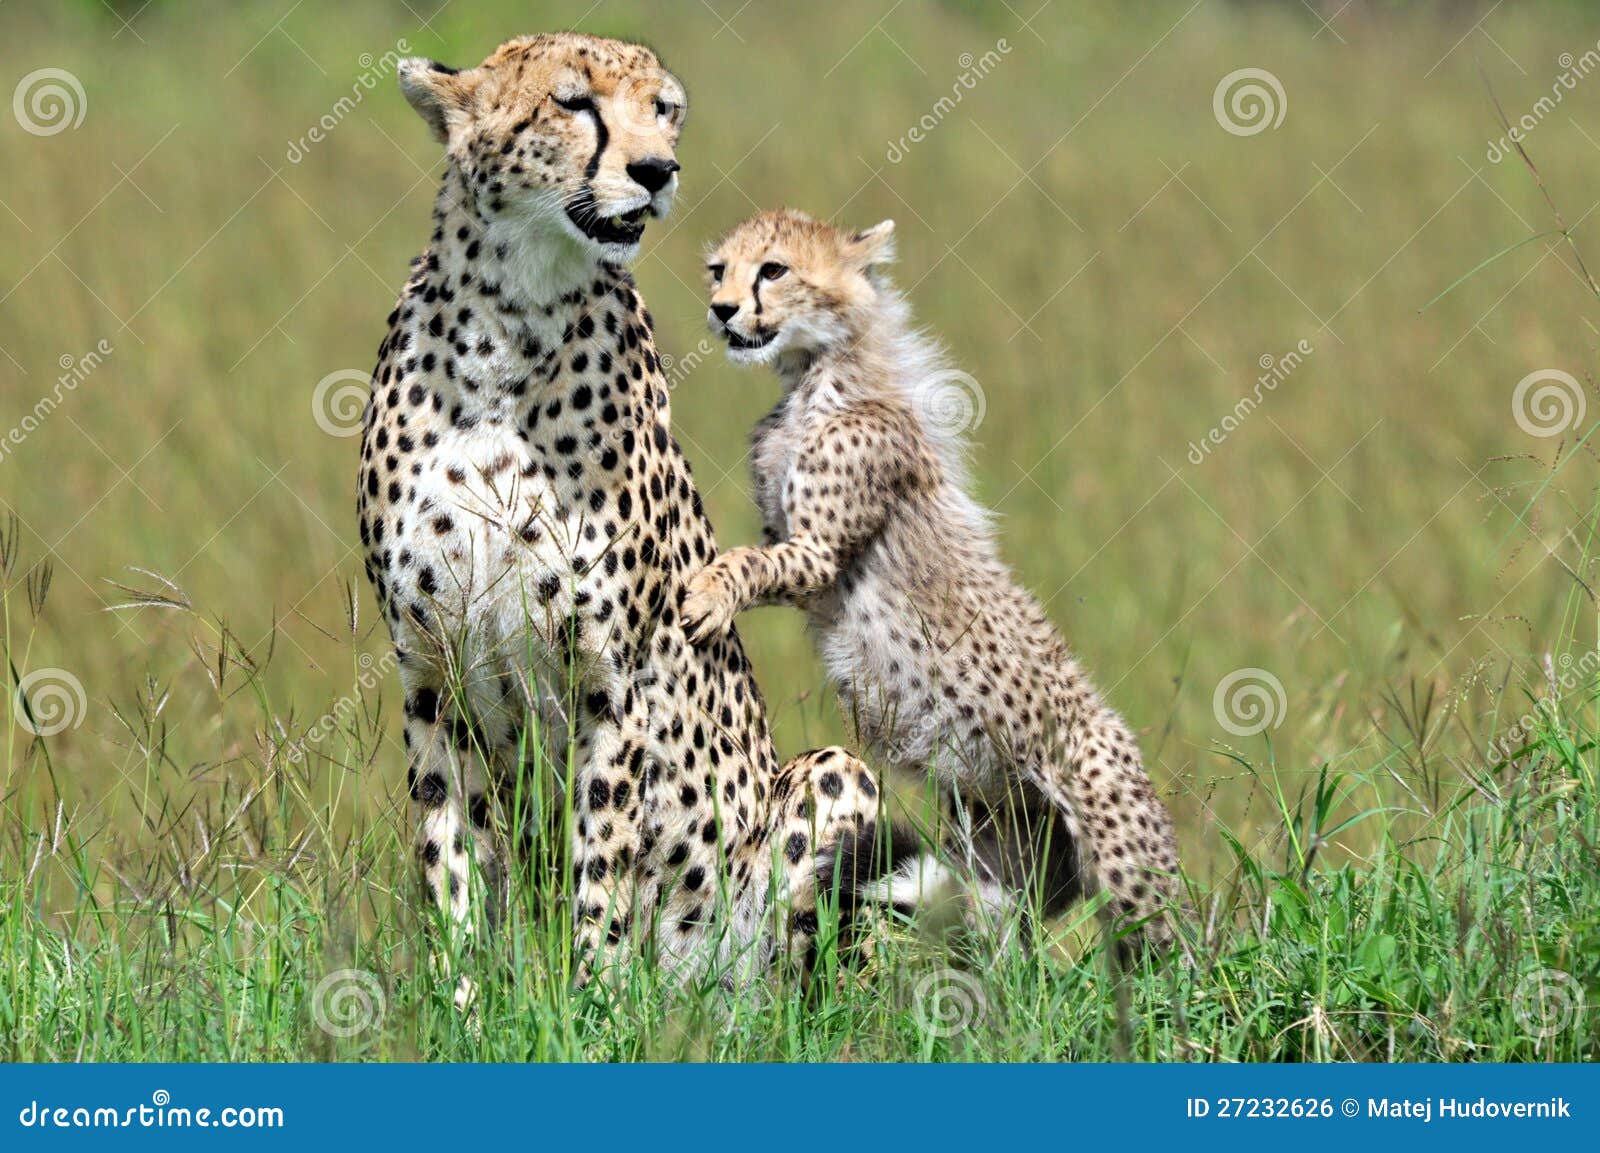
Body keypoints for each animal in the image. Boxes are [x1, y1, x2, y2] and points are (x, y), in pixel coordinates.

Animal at [358, 38, 917, 1006]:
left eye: (664, 110)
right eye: (574, 103)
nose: (657, 171)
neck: (509, 324)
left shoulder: (608, 674)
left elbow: (603, 865)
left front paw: (598, 1008)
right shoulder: (429, 668)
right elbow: (450, 859)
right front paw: (459, 1003)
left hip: (828, 789)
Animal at [683, 208, 1183, 952]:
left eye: (772, 270)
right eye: (719, 270)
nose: (721, 309)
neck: (815, 375)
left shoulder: (818, 551)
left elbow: (749, 561)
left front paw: (709, 591)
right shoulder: (792, 541)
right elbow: (755, 551)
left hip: (1126, 859)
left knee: (1168, 945)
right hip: (998, 861)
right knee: (1003, 955)